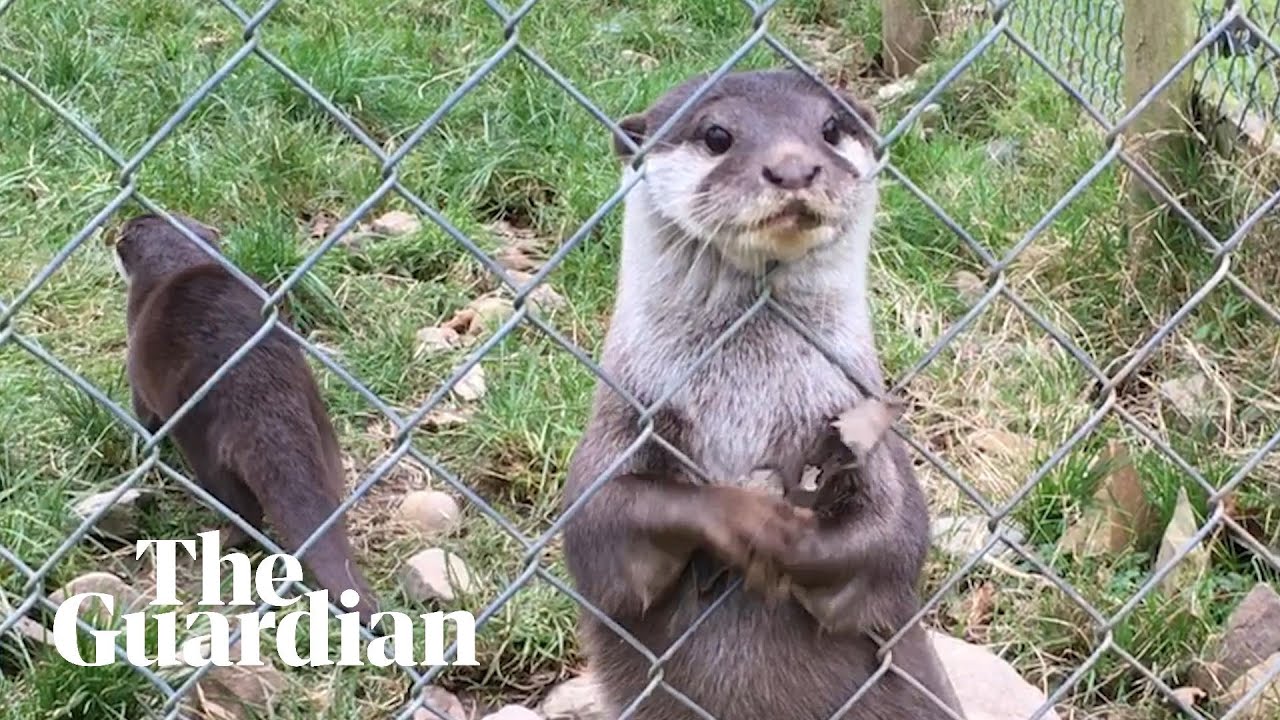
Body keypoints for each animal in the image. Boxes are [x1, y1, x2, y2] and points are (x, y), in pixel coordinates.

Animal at [113, 213, 378, 624]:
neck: (178, 263)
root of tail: (260, 387)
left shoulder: (137, 364)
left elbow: (144, 415)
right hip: (319, 419)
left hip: (202, 439)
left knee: (245, 509)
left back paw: (219, 540)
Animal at [560, 69, 965, 719]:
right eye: (716, 135)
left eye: (830, 128)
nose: (794, 168)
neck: (746, 395)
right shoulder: (623, 422)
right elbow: (605, 525)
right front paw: (744, 516)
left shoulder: (868, 428)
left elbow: (892, 541)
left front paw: (785, 536)